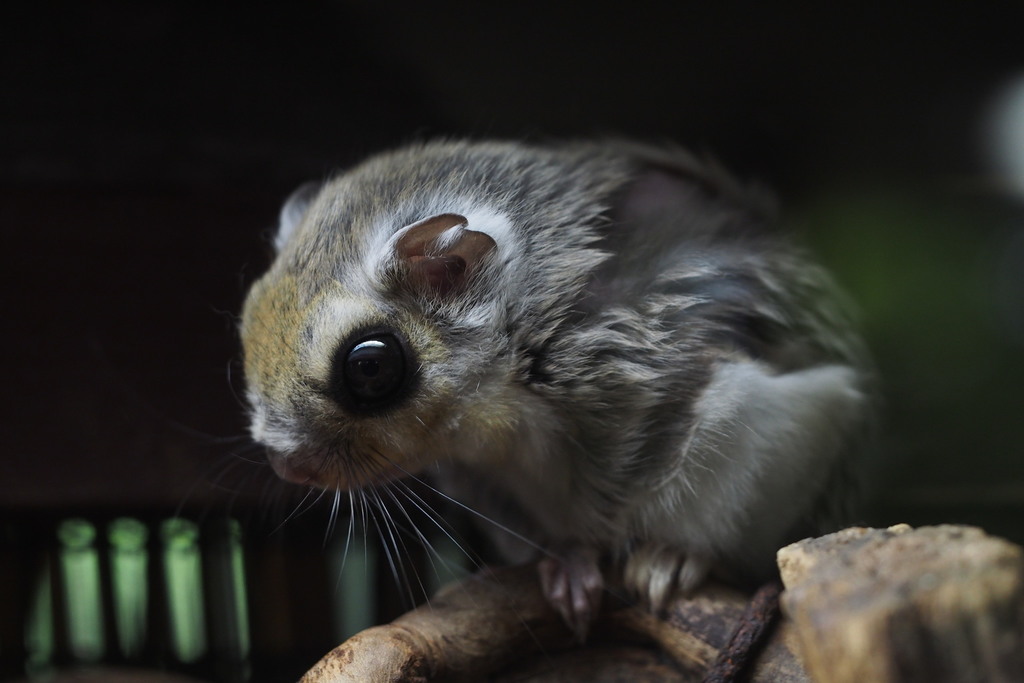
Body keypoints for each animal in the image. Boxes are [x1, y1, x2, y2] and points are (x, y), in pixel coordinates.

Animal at [240, 139, 875, 638]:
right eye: (247, 321)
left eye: (370, 367)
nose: (287, 465)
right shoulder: (487, 486)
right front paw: (569, 564)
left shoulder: (727, 403)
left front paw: (659, 555)